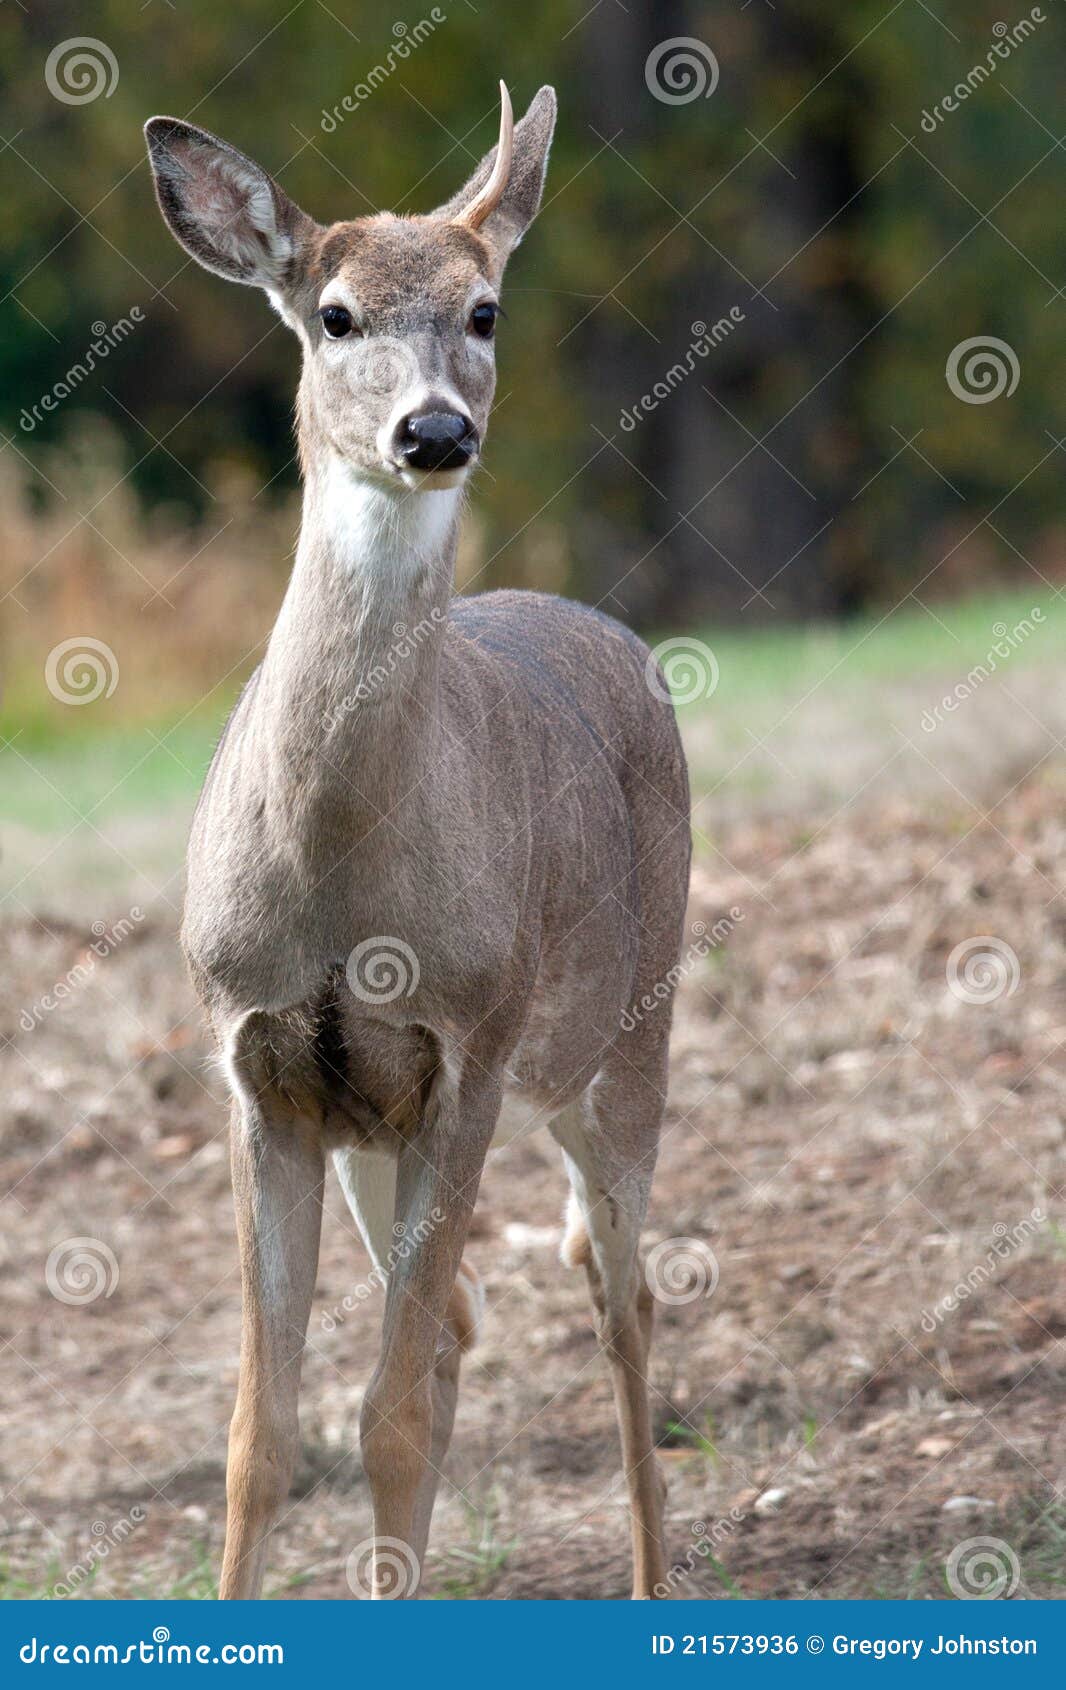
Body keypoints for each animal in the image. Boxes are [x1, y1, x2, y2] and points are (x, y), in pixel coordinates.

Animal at [144, 82, 690, 1601]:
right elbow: (259, 1431)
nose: (432, 431)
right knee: (459, 1323)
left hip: (627, 1029)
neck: (338, 878)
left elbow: (384, 1417)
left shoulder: (472, 1047)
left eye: (484, 307)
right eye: (332, 314)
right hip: (376, 1132)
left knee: (619, 1290)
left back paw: (653, 1576)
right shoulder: (255, 1064)